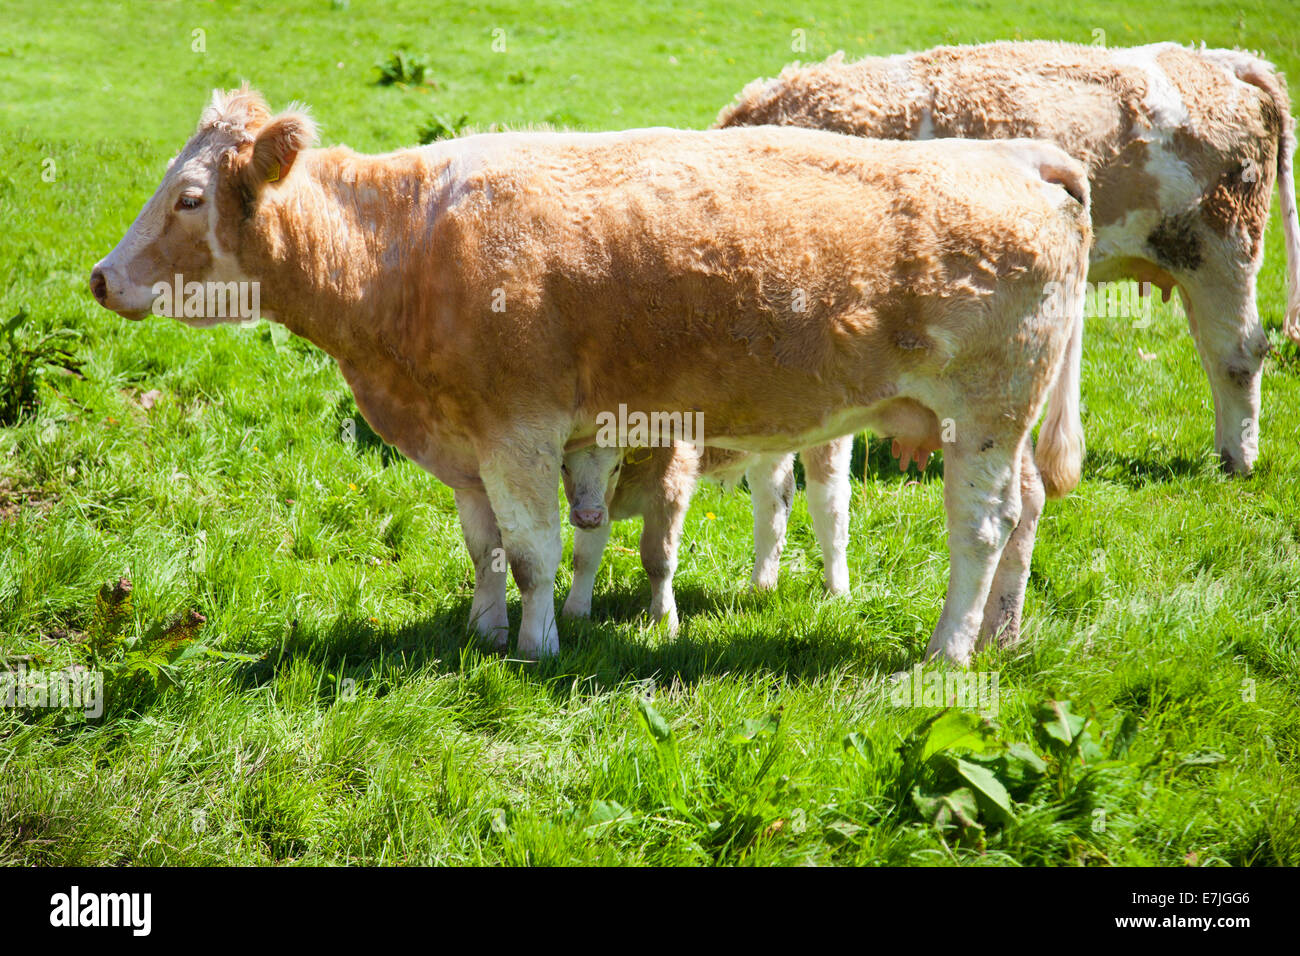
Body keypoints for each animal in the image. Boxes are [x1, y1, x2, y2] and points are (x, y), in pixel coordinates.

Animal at [560, 438, 854, 632]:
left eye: (615, 467)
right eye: (563, 466)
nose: (587, 516)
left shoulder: (671, 485)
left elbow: (658, 561)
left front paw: (665, 621)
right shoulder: (601, 504)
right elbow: (584, 557)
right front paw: (575, 613)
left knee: (831, 511)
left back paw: (838, 589)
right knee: (773, 510)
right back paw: (761, 587)